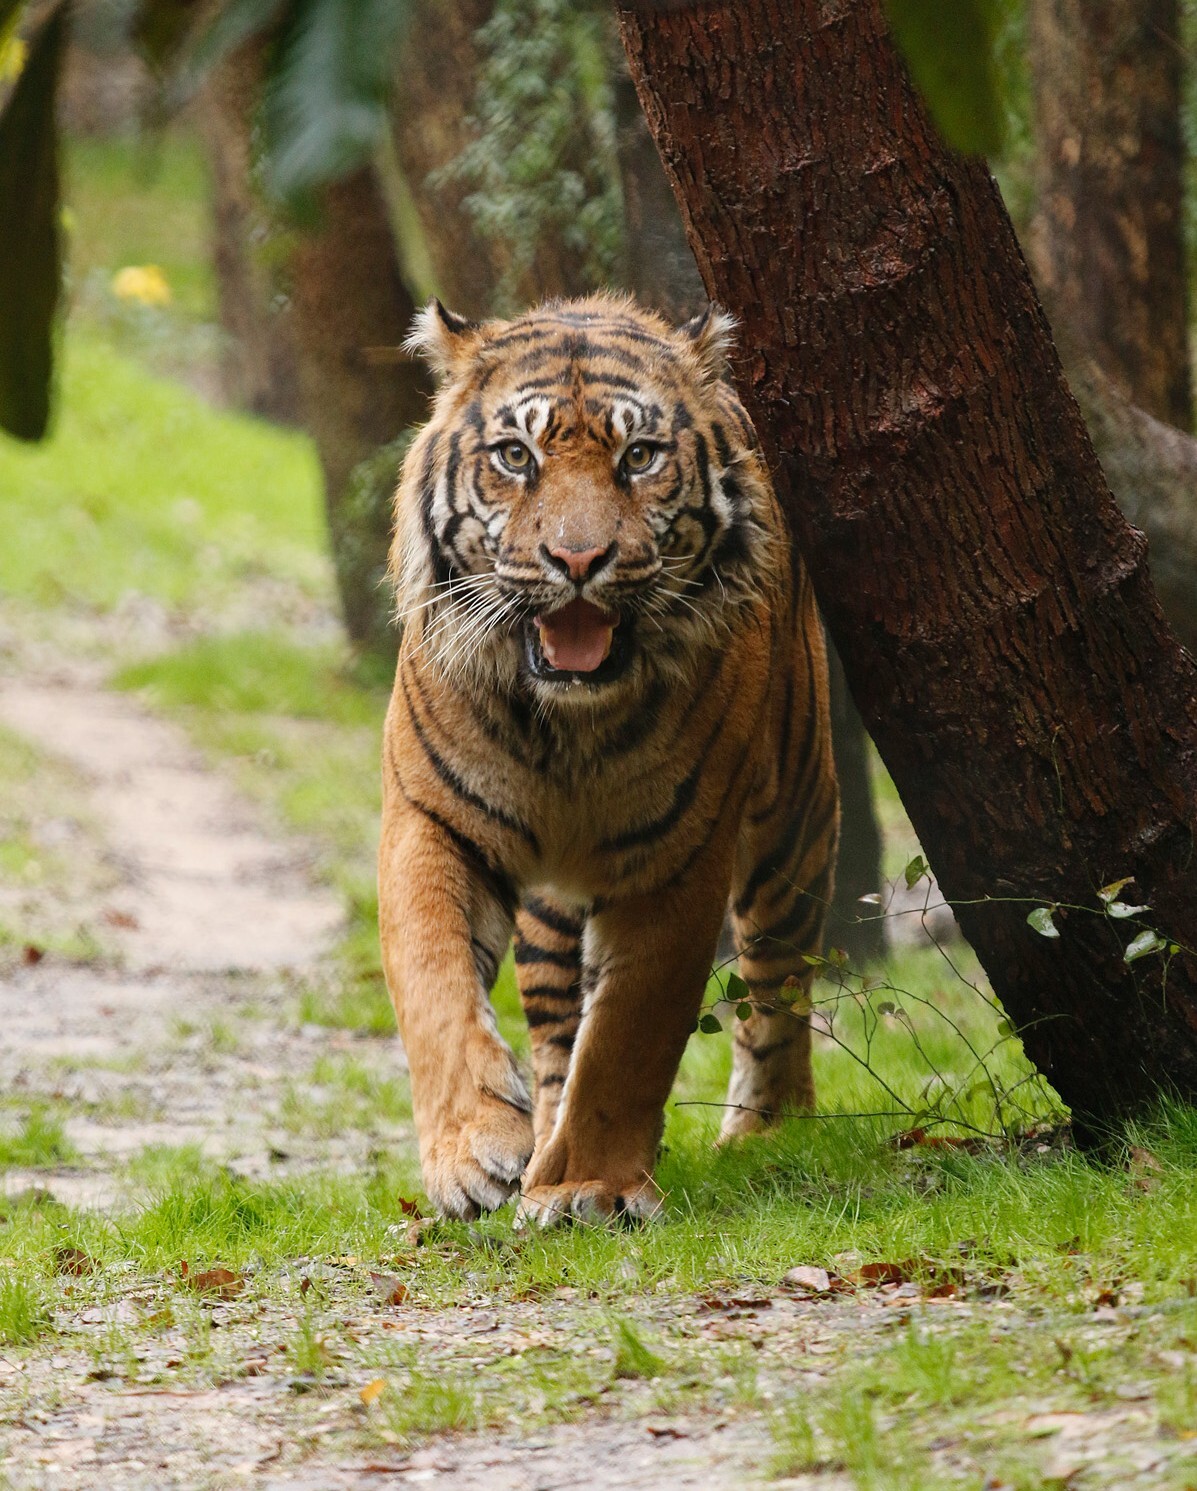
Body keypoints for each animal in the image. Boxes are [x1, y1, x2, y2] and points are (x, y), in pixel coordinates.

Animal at [378, 293, 838, 1225]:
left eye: (639, 457)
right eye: (515, 457)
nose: (578, 560)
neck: (565, 728)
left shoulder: (678, 860)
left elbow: (629, 1033)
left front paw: (591, 1184)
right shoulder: (428, 817)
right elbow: (432, 979)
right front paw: (473, 1153)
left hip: (793, 831)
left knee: (777, 988)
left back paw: (767, 1132)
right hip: (552, 914)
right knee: (558, 1026)